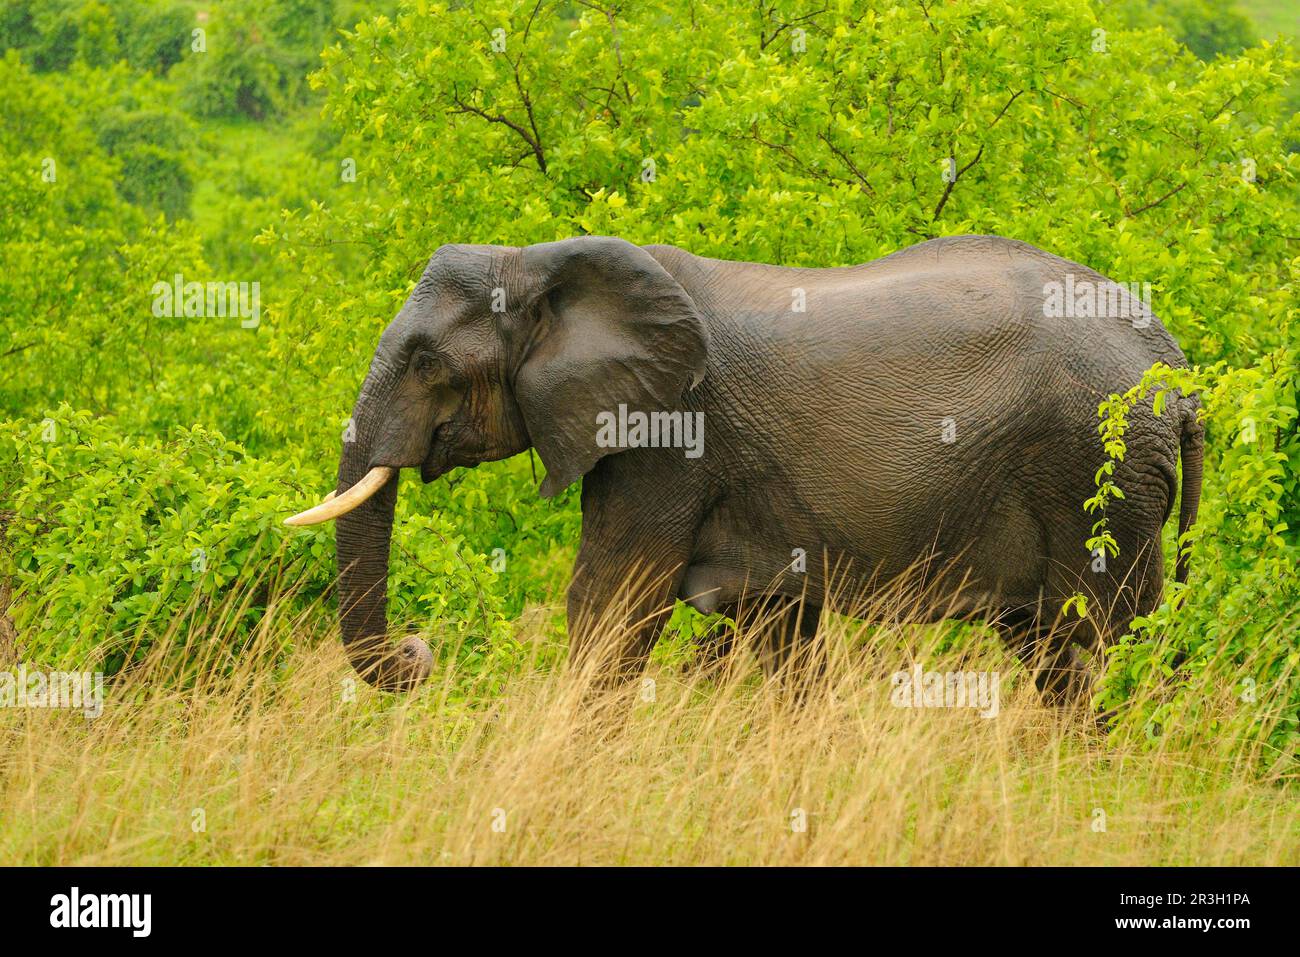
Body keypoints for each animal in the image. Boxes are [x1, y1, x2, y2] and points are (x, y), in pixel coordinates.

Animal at [286, 234, 1203, 700]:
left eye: (427, 362)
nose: (419, 651)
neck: (541, 259)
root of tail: (1178, 375)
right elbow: (777, 629)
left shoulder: (670, 436)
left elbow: (612, 599)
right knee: (1055, 650)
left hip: (1098, 473)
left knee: (1111, 632)